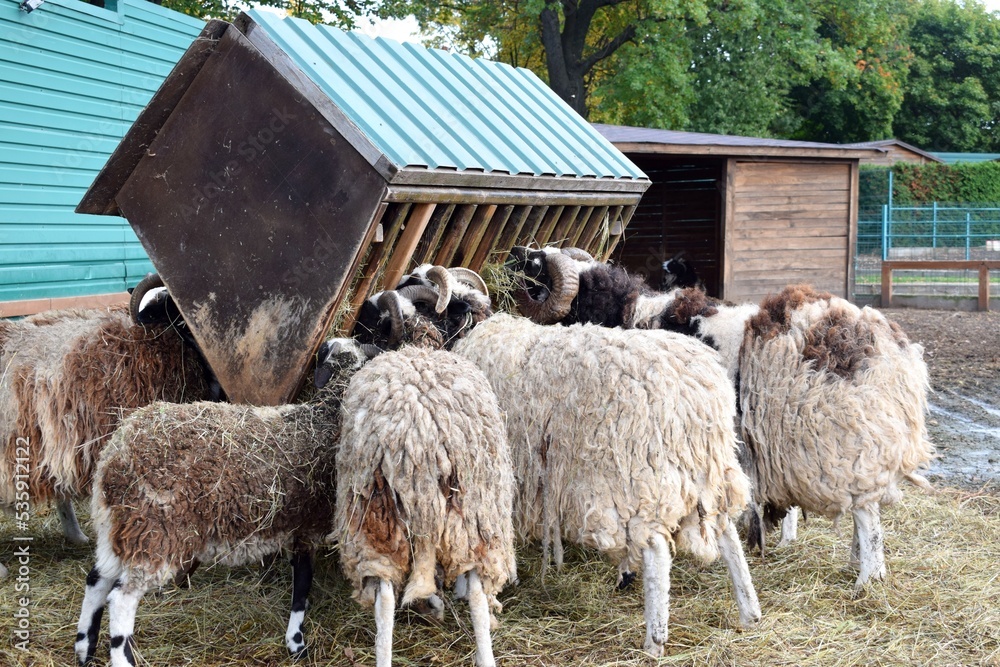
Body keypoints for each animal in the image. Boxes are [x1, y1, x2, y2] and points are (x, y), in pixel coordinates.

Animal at [73, 338, 380, 667]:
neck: (323, 418)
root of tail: (115, 457)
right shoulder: (306, 527)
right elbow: (302, 587)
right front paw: (297, 643)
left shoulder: (296, 526)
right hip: (155, 534)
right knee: (120, 598)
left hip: (116, 528)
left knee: (96, 580)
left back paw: (84, 650)